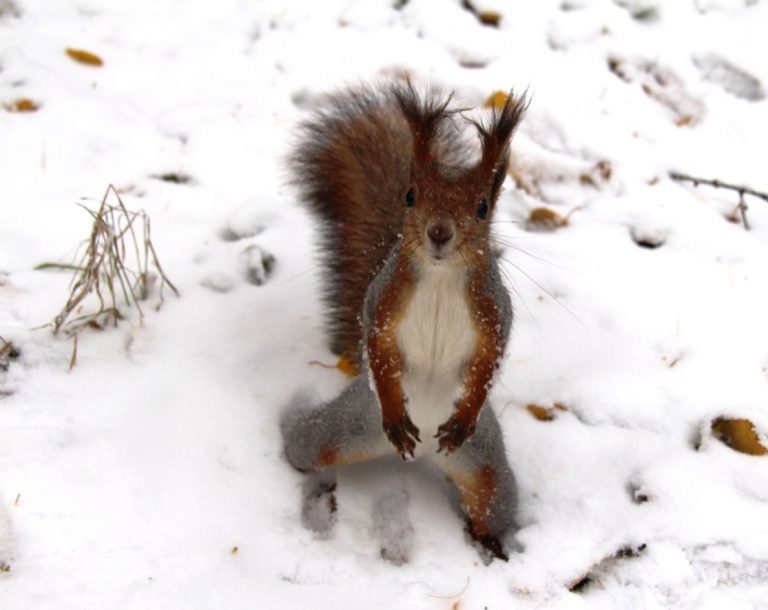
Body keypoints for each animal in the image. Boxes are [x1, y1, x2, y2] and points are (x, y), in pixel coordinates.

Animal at [281, 79, 527, 561]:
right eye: (411, 195)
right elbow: (376, 346)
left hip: (487, 466)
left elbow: (491, 358)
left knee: (492, 502)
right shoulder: (383, 301)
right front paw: (395, 414)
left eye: (483, 207)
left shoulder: (494, 310)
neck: (439, 274)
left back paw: (490, 543)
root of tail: (421, 456)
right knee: (306, 441)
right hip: (346, 427)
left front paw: (463, 416)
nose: (439, 232)